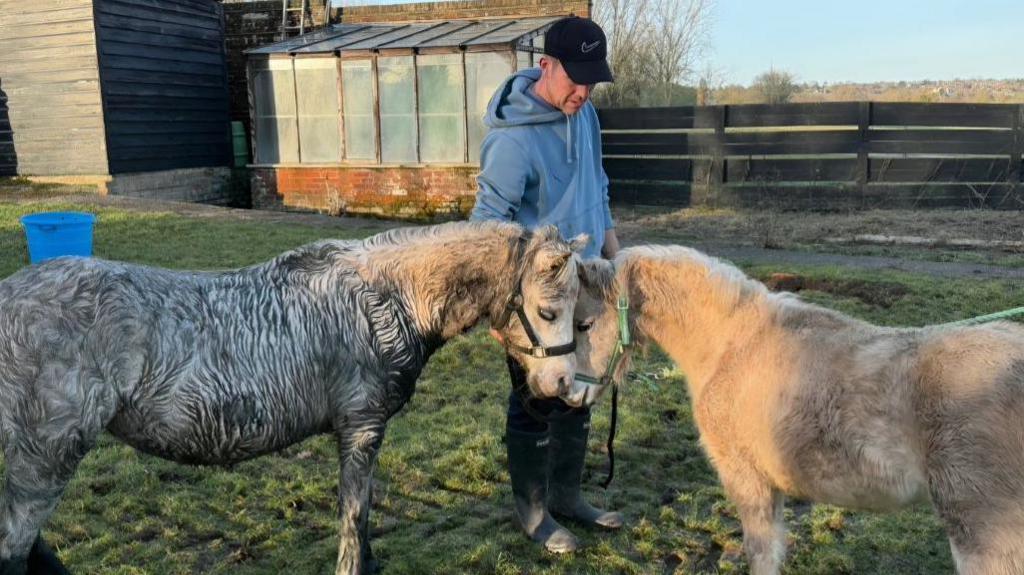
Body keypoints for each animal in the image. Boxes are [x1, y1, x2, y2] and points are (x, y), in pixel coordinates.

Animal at [0, 221, 587, 575]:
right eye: (548, 311)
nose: (565, 388)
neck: (385, 298)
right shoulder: (361, 427)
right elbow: (353, 514)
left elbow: (362, 514)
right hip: (44, 460)